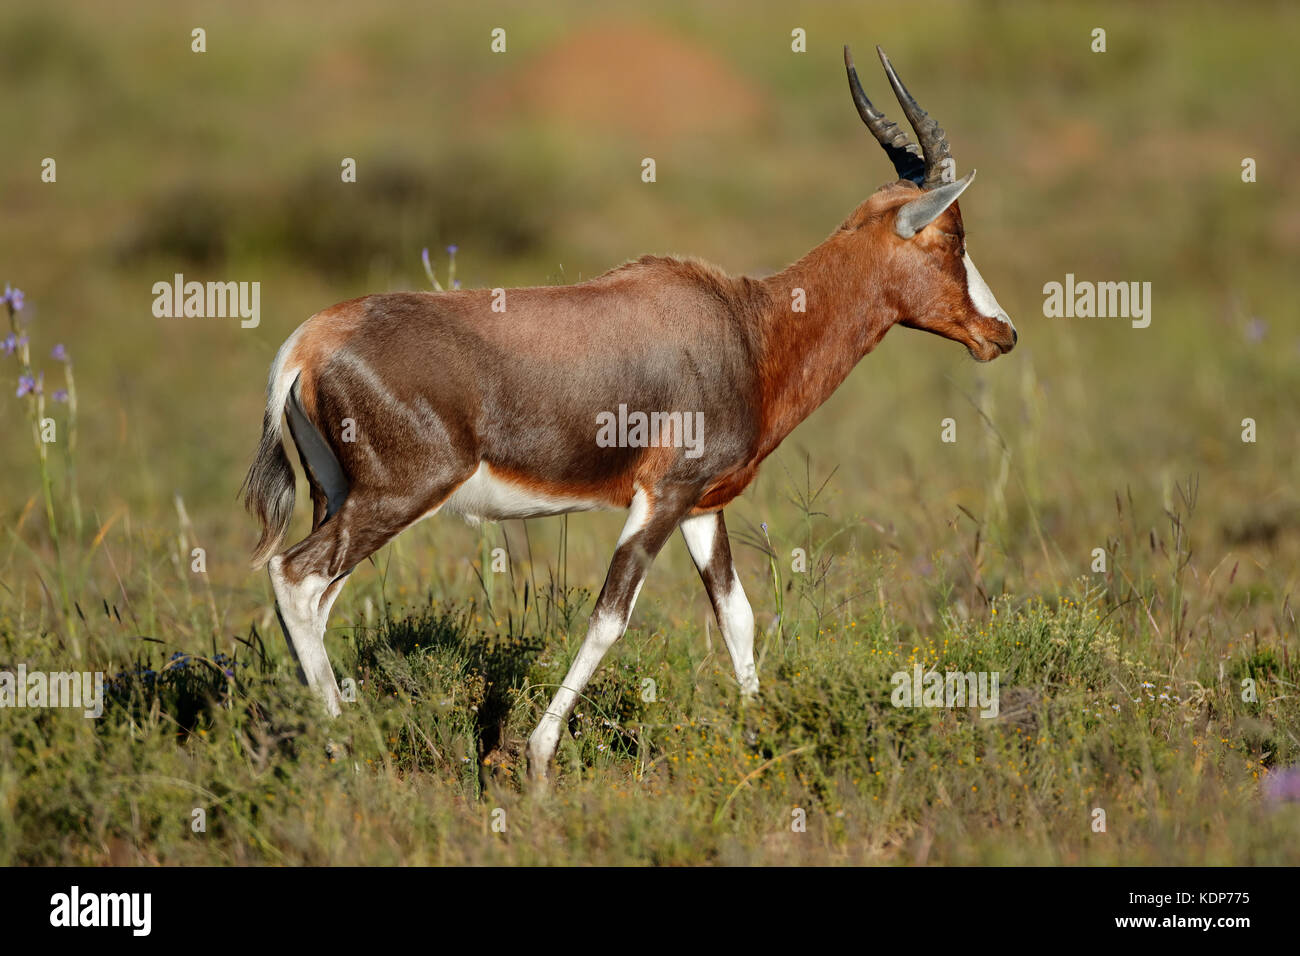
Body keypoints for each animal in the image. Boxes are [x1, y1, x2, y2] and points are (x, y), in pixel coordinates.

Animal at [242, 45, 1016, 782]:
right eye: (953, 236)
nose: (1001, 333)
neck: (746, 323)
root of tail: (309, 343)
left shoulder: (703, 506)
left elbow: (737, 616)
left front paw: (762, 744)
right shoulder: (660, 498)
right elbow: (611, 617)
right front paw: (539, 759)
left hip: (341, 497)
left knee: (317, 600)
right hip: (400, 495)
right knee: (296, 578)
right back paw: (345, 750)